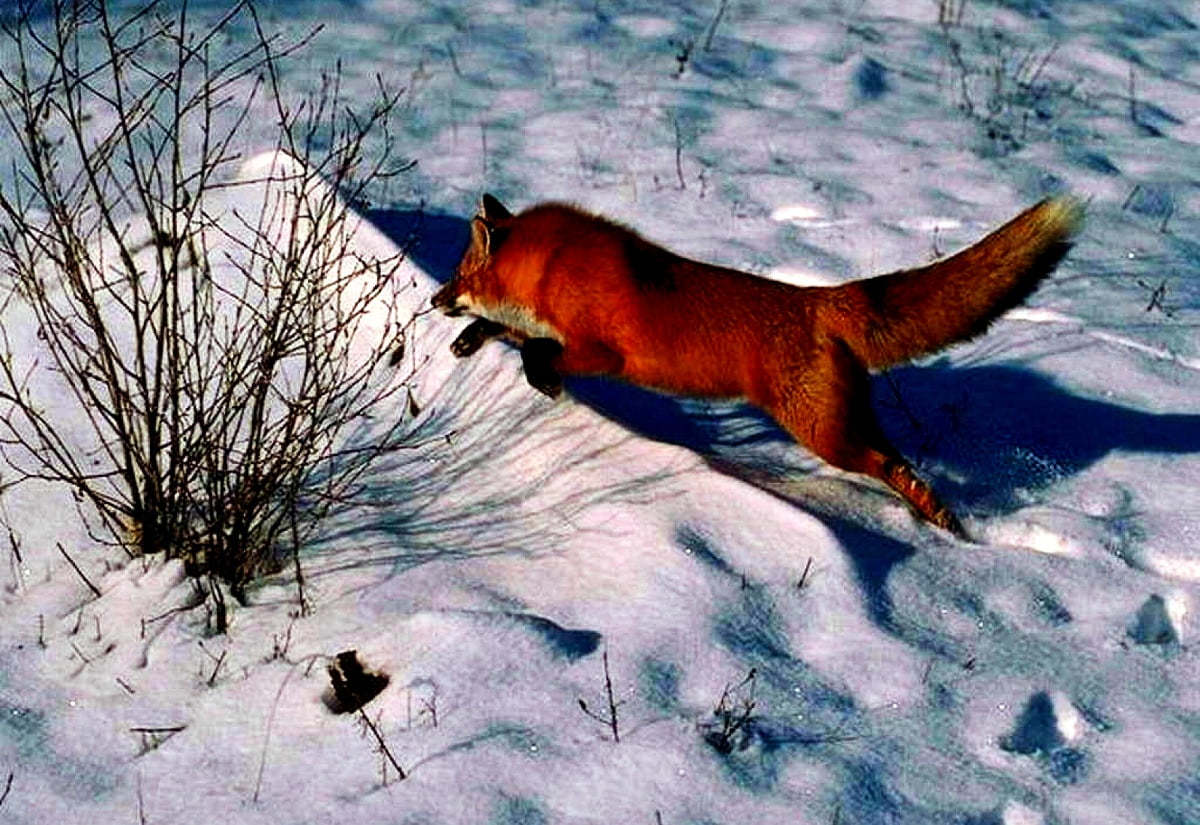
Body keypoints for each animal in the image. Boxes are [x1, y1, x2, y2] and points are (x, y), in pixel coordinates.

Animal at [431, 194, 1084, 536]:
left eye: (460, 275)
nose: (436, 300)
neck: (554, 267)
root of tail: (819, 299)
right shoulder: (549, 328)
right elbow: (512, 331)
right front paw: (469, 339)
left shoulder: (602, 351)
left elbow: (536, 350)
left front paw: (542, 380)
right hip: (845, 424)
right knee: (900, 461)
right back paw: (944, 522)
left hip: (824, 436)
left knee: (893, 468)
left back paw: (940, 524)